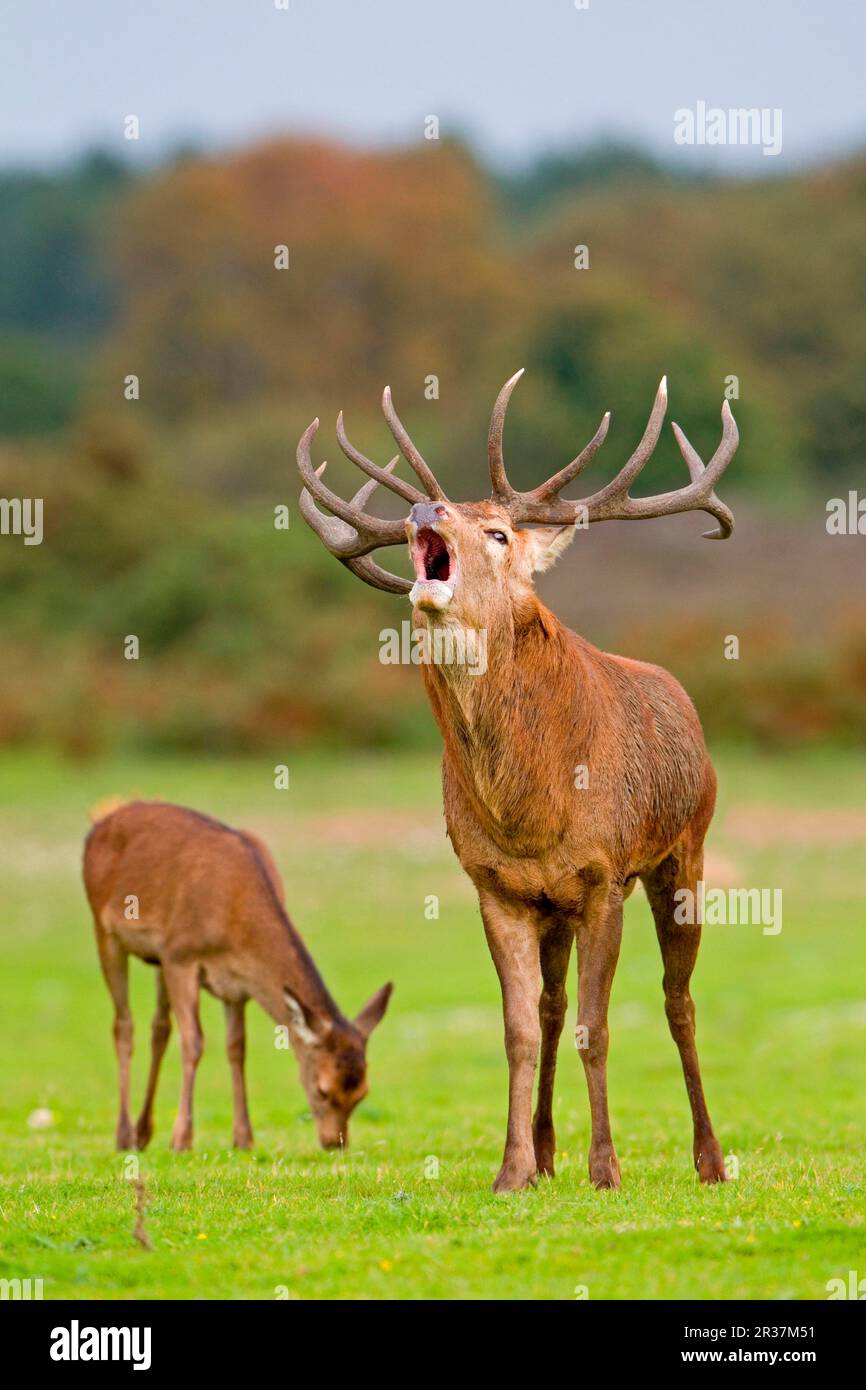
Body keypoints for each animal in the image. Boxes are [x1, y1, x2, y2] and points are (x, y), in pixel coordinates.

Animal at [83, 801, 392, 1152]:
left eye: (362, 1092)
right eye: (322, 1089)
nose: (334, 1142)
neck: (235, 913)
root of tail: (100, 823)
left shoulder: (236, 984)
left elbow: (237, 1047)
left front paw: (243, 1137)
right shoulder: (180, 955)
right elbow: (193, 1042)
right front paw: (181, 1138)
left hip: (157, 959)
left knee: (159, 1028)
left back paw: (143, 1131)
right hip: (106, 930)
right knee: (124, 1025)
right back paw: (124, 1135)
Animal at [296, 370, 738, 1193]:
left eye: (500, 533)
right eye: (426, 521)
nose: (424, 508)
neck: (529, 809)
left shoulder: (603, 874)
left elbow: (601, 1027)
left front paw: (607, 1169)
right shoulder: (495, 885)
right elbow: (519, 1028)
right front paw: (512, 1170)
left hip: (683, 852)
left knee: (679, 1001)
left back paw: (709, 1158)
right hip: (554, 907)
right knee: (556, 1006)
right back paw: (546, 1151)